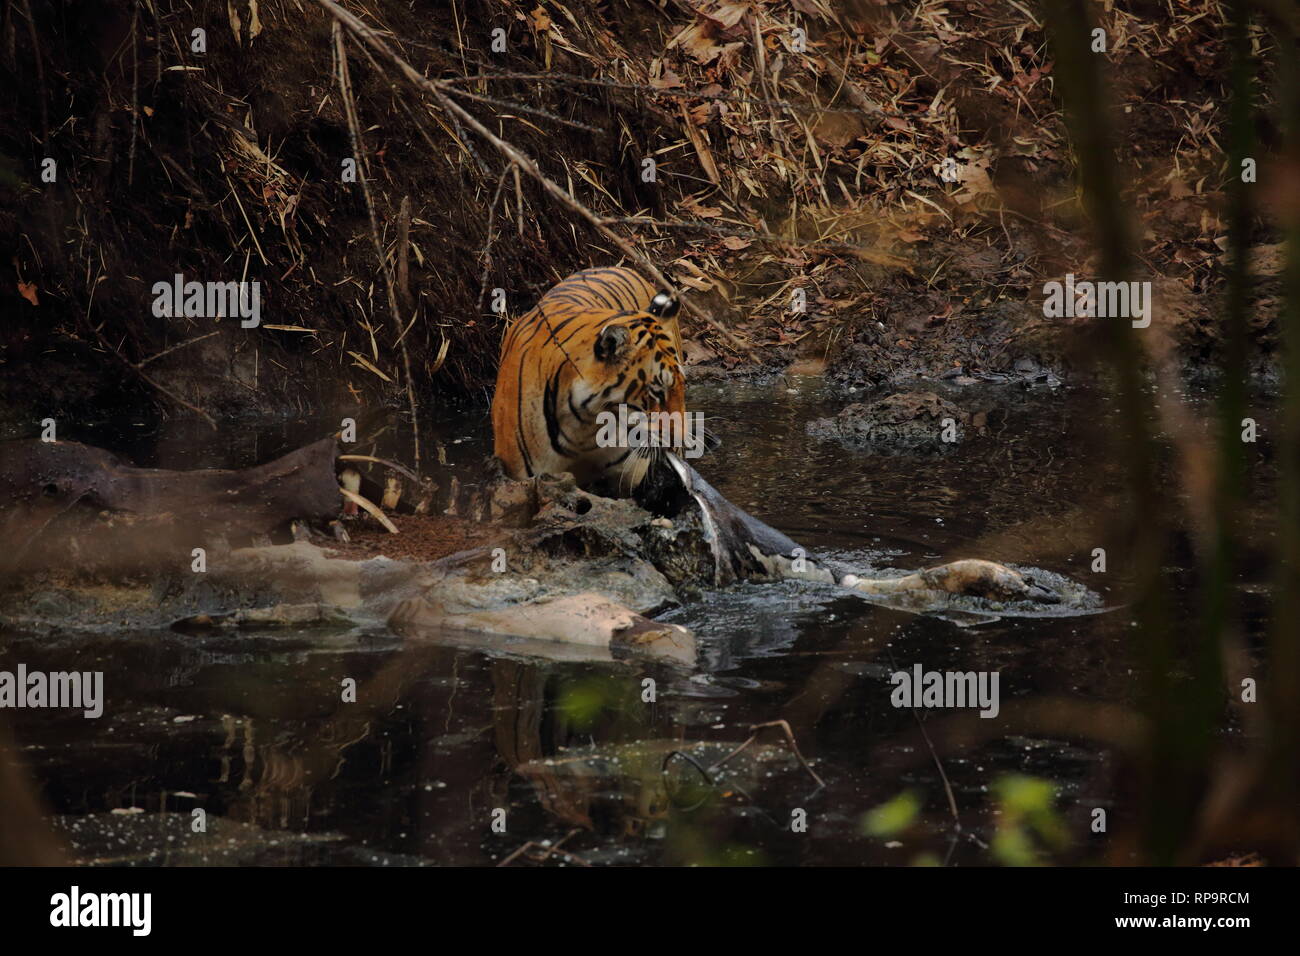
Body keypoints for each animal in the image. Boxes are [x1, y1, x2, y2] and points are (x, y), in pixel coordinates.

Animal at [491, 266, 689, 493]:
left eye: (682, 386)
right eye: (657, 391)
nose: (681, 439)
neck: (583, 428)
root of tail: (621, 267)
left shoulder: (628, 475)